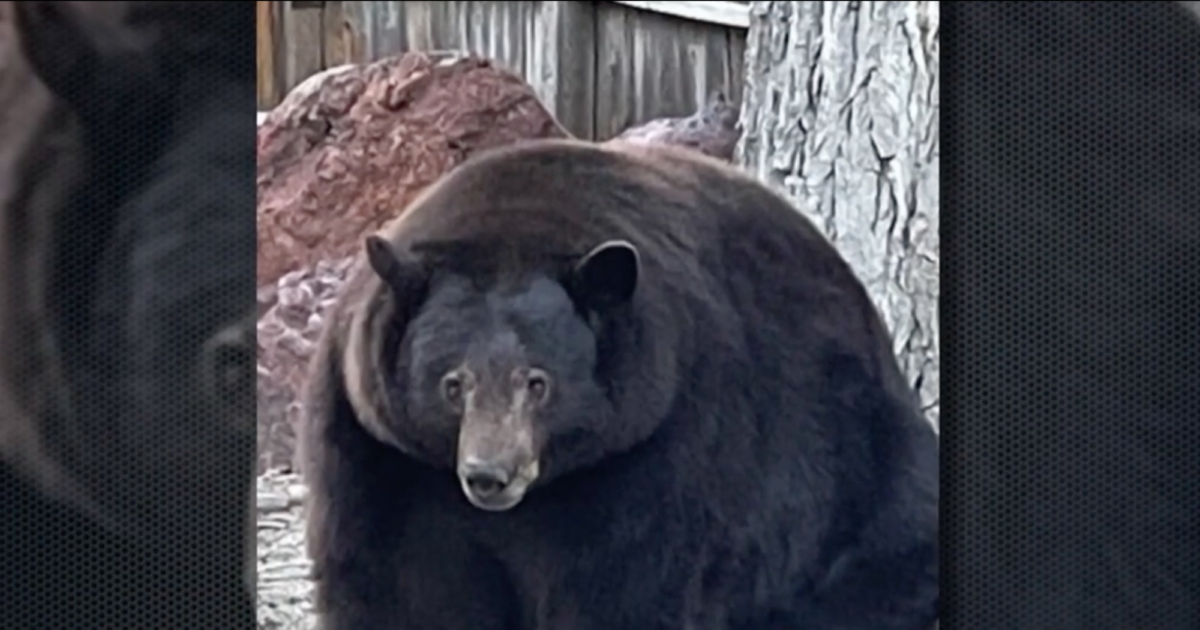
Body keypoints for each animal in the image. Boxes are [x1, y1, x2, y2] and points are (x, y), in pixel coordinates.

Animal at [300, 138, 939, 630]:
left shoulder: (659, 443)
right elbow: (399, 585)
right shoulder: (382, 454)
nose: (489, 475)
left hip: (855, 466)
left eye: (538, 382)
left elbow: (625, 584)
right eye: (452, 383)